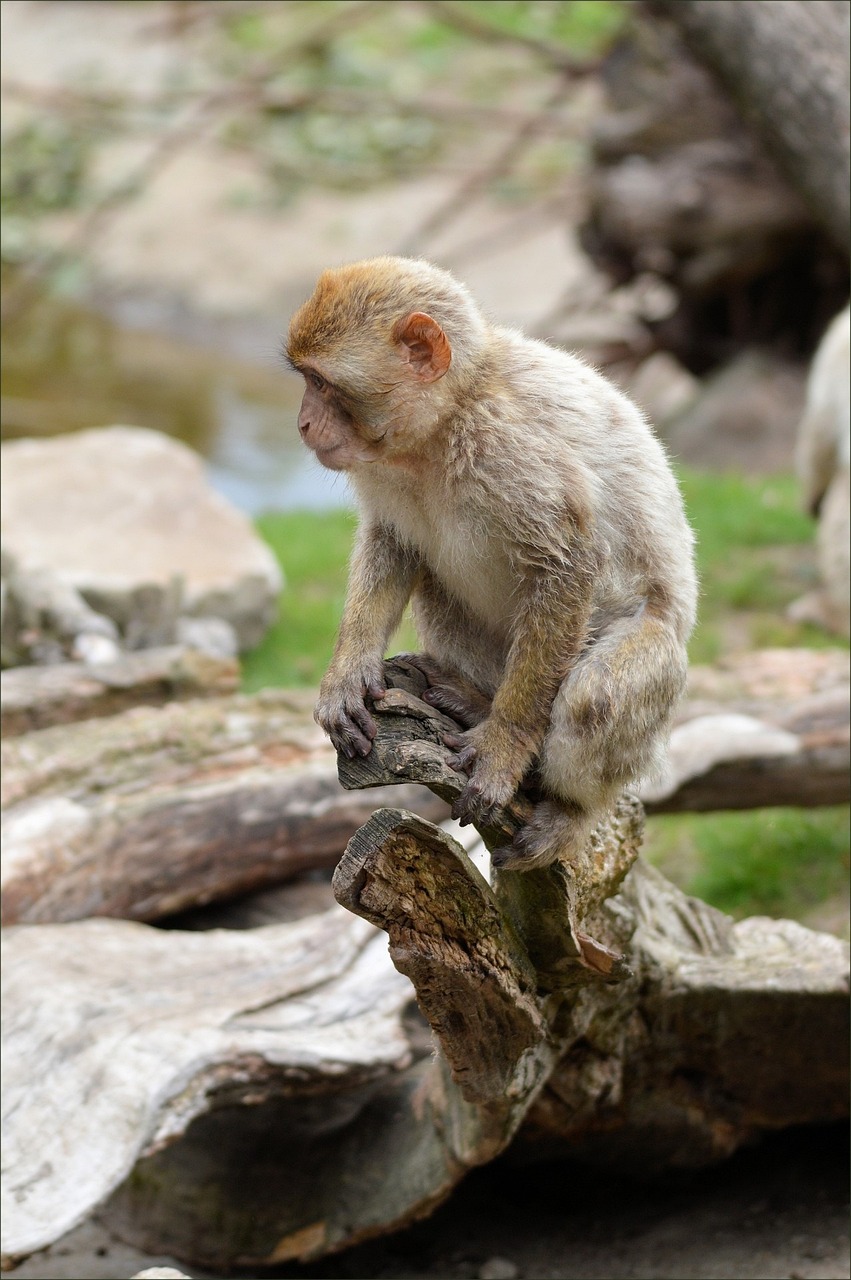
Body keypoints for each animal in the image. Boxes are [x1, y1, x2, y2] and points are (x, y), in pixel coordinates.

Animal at [286, 256, 698, 870]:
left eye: (320, 383)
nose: (303, 424)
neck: (441, 428)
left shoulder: (510, 447)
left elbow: (567, 563)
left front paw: (504, 746)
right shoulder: (384, 466)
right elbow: (393, 541)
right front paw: (349, 673)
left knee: (595, 697)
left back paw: (569, 811)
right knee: (435, 581)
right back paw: (473, 697)